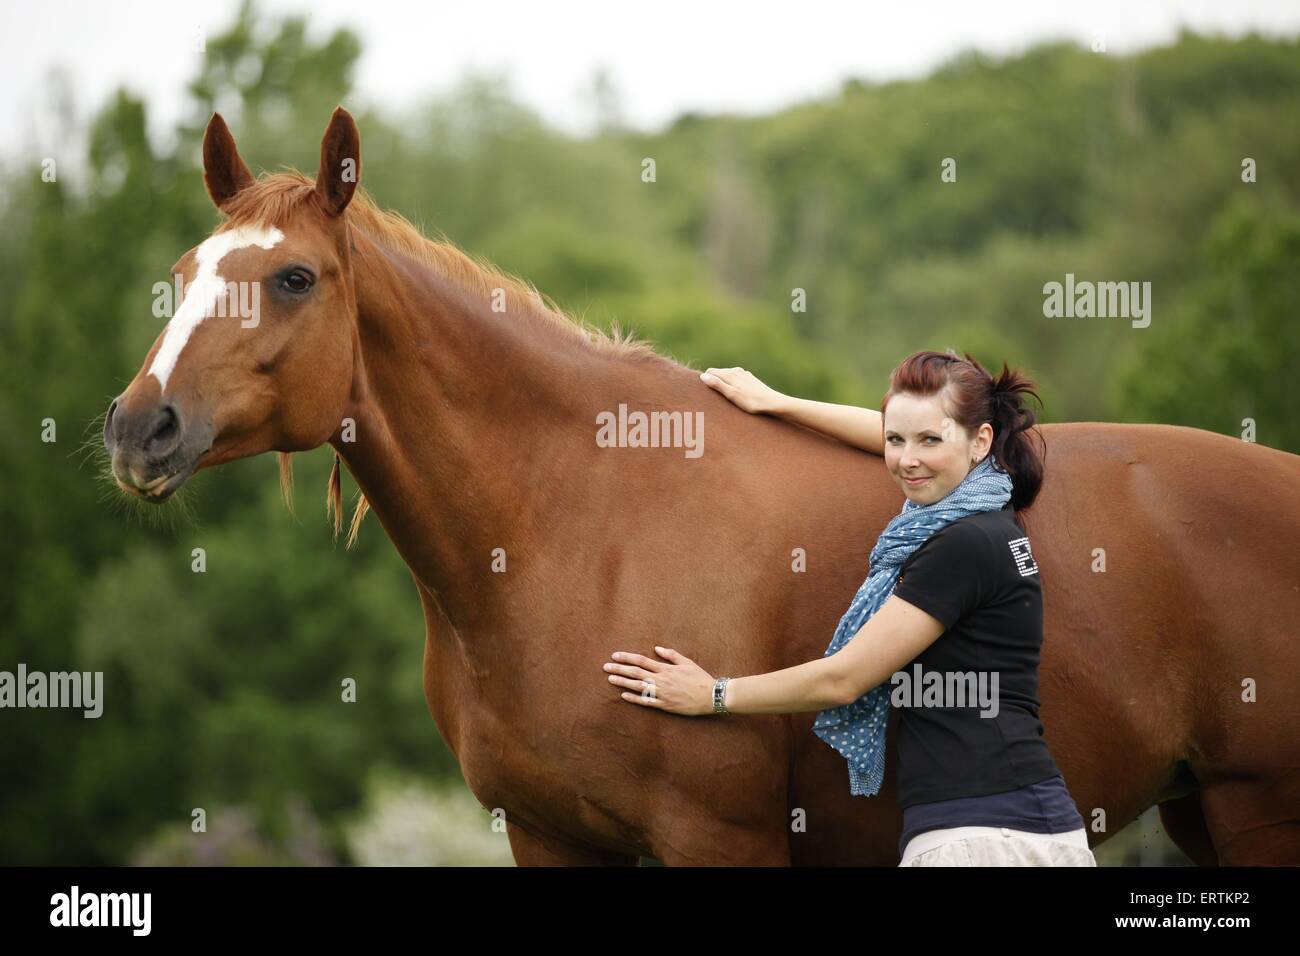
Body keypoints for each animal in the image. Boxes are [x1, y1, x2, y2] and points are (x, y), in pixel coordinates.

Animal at [101, 108, 1300, 865]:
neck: (577, 521)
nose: (136, 426)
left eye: (296, 277)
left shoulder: (717, 838)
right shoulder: (552, 838)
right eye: (182, 275)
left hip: (1255, 811)